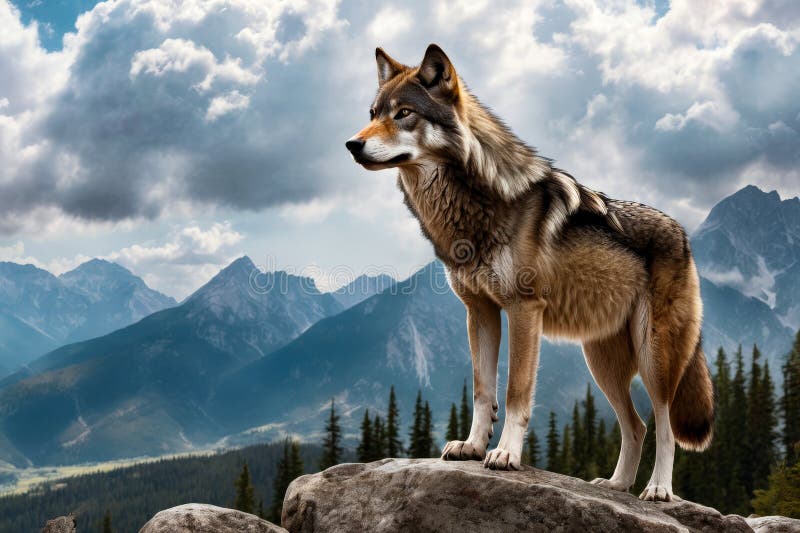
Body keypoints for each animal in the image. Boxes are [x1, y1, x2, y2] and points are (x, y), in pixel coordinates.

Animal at [346, 44, 713, 502]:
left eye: (404, 114)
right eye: (373, 112)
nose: (352, 144)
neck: (474, 205)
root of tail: (683, 235)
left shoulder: (524, 310)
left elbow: (515, 392)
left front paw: (505, 454)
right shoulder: (480, 312)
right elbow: (483, 390)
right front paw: (472, 446)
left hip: (654, 356)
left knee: (663, 423)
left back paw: (658, 490)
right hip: (601, 363)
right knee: (636, 425)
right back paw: (615, 485)